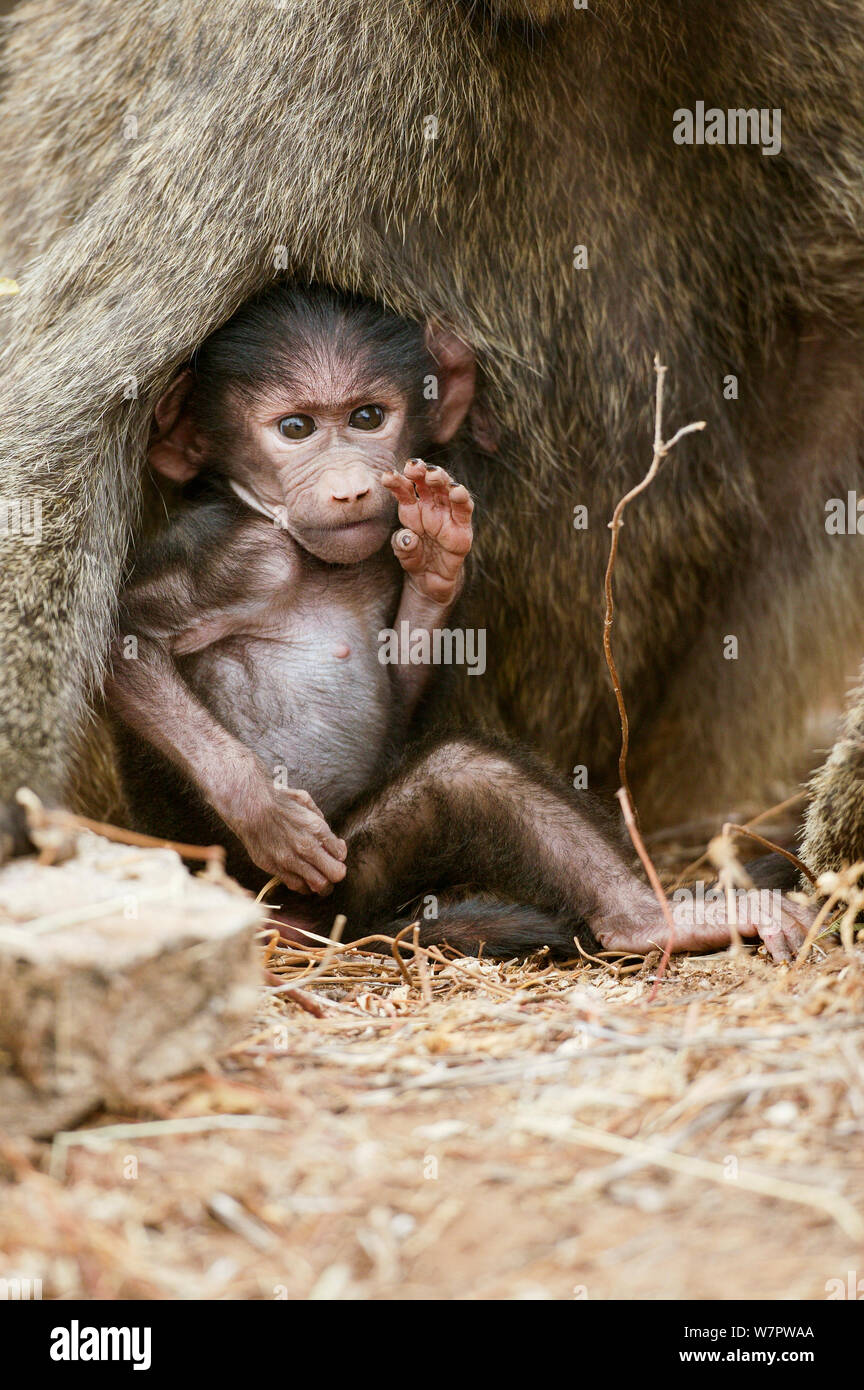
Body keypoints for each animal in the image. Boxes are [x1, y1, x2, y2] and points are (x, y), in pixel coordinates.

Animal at [103, 283, 811, 962]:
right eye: (295, 427)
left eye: (367, 418)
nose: (348, 487)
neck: (310, 558)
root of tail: (300, 924)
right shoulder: (243, 557)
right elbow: (122, 645)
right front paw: (264, 810)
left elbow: (399, 690)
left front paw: (437, 563)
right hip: (301, 880)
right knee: (465, 772)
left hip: (354, 881)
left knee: (469, 779)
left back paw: (659, 923)